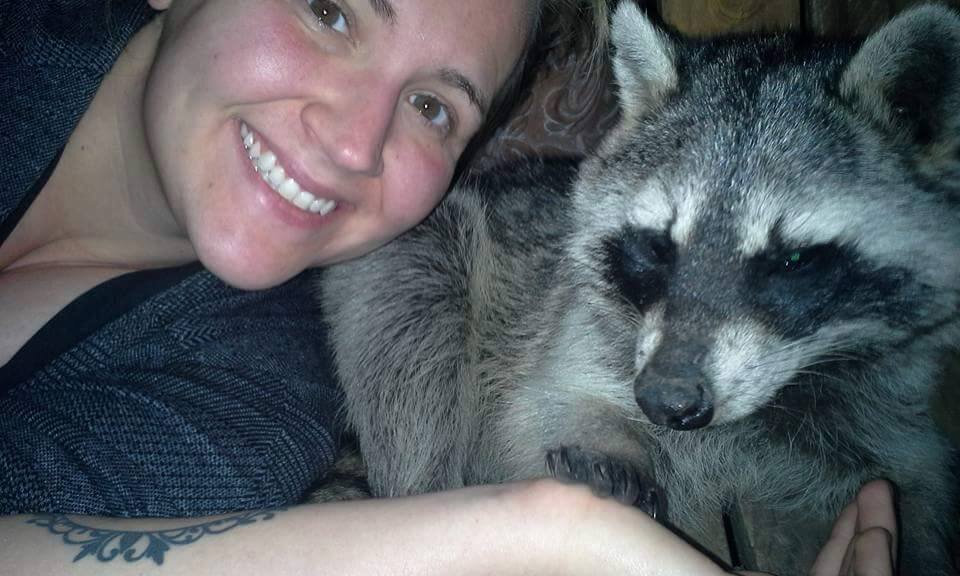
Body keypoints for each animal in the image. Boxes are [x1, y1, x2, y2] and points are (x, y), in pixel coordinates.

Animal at [318, 3, 960, 574]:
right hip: (423, 251)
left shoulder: (885, 413)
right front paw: (612, 444)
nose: (666, 402)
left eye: (793, 261)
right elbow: (540, 403)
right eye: (657, 247)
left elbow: (917, 490)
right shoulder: (578, 318)